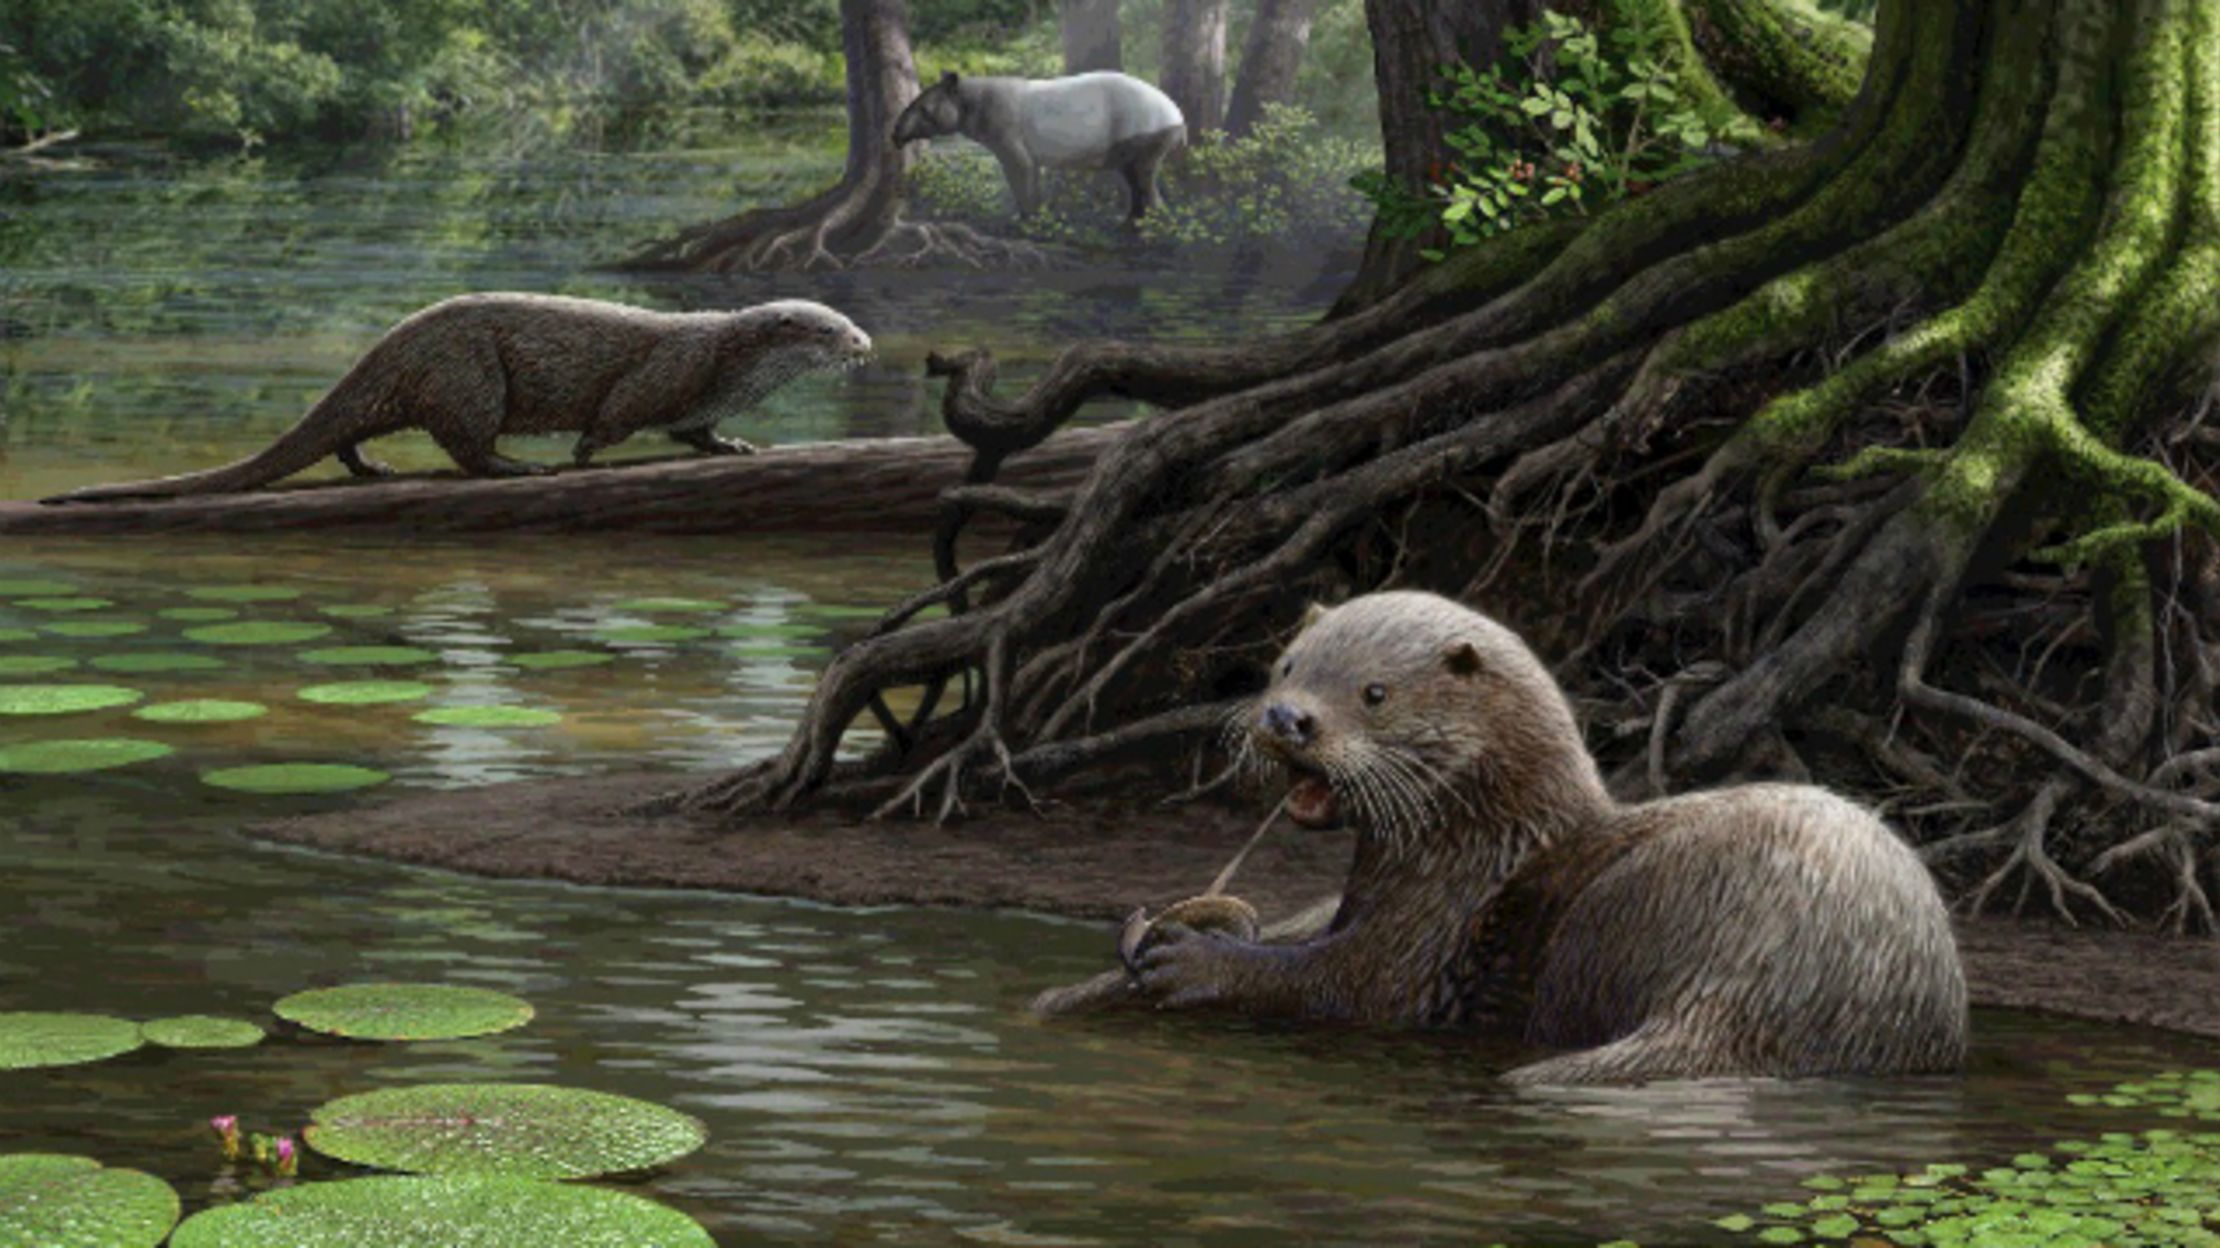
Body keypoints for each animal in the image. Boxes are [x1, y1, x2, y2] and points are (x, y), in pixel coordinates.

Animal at [43, 293, 872, 503]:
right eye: (831, 328)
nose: (865, 344)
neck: (726, 358)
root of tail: (389, 345)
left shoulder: (701, 400)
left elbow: (697, 435)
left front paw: (732, 443)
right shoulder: (666, 371)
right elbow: (613, 416)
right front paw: (579, 454)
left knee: (350, 435)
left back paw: (372, 469)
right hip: (467, 376)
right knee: (468, 446)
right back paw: (521, 467)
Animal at [1125, 592, 1968, 1085]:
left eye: (1374, 692)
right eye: (1287, 666)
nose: (1286, 717)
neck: (1485, 839)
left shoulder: (1432, 937)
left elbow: (1349, 986)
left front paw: (1192, 959)